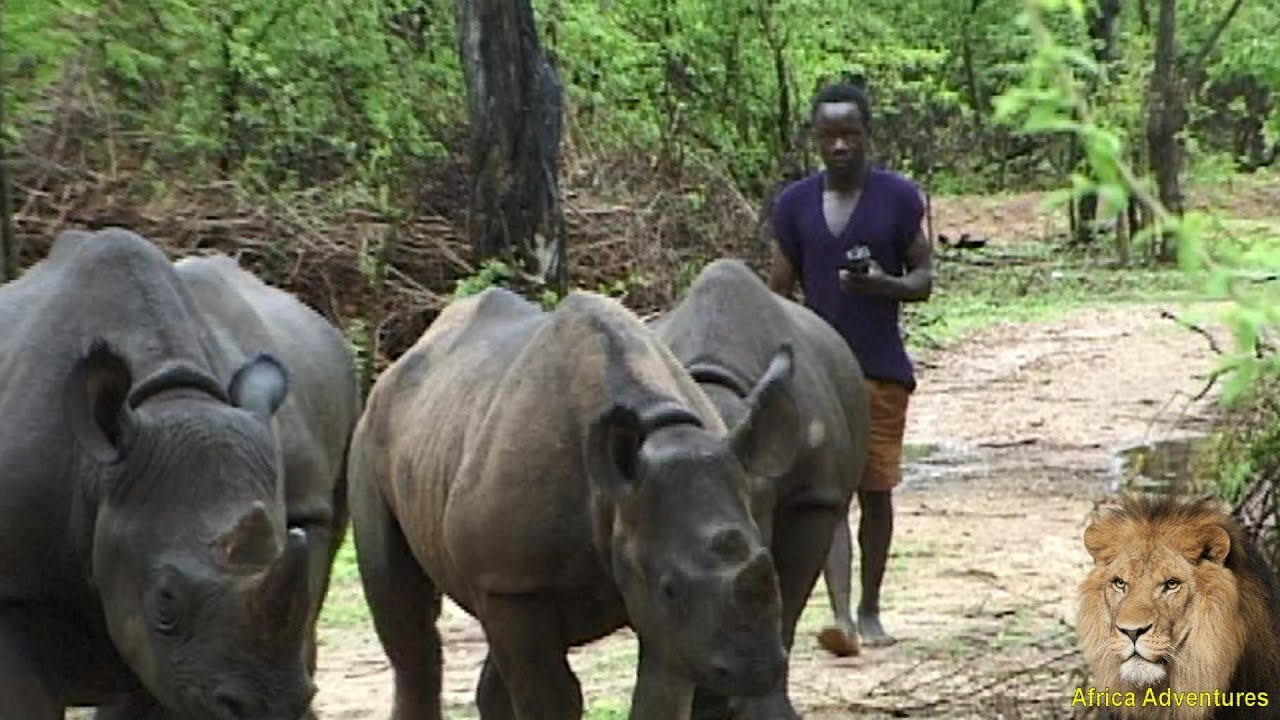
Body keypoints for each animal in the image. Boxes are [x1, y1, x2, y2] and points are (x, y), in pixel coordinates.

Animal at [348, 287, 803, 720]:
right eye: (670, 587)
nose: (757, 669)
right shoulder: (518, 583)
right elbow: (553, 699)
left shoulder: (664, 615)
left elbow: (660, 695)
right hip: (369, 438)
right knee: (410, 628)